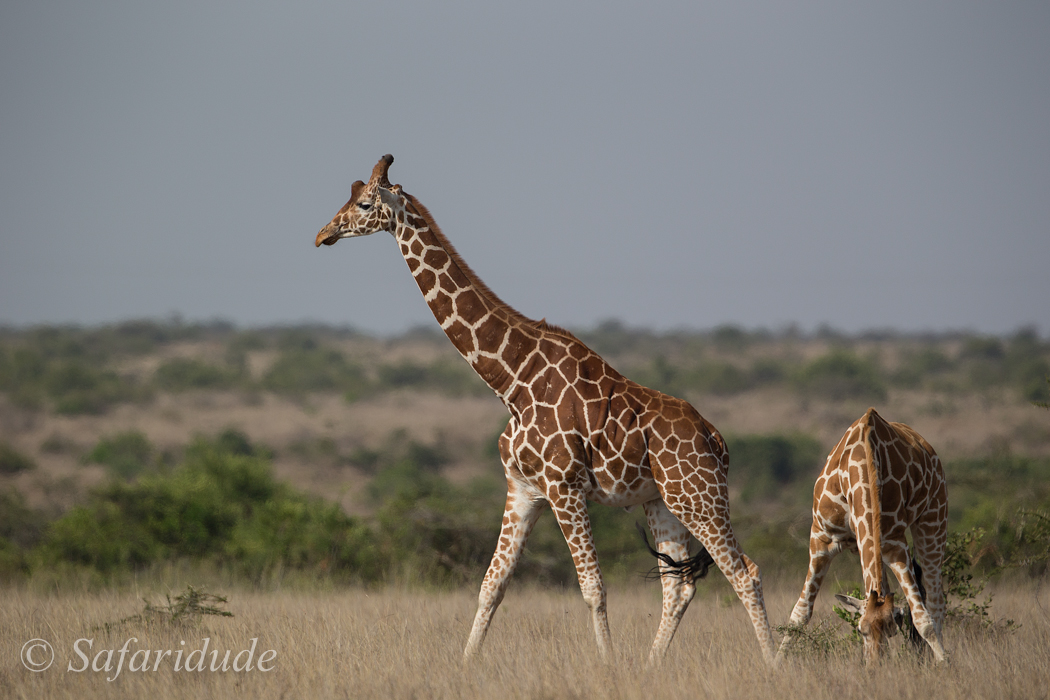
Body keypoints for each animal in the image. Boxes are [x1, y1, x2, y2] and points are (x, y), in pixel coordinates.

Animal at [316, 154, 777, 664]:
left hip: (700, 496)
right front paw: (465, 665)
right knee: (679, 588)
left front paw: (608, 666)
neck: (511, 381)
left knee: (746, 573)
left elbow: (593, 587)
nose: (323, 234)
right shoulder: (523, 489)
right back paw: (651, 668)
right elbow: (491, 586)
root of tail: (717, 440)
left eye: (364, 203)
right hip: (662, 501)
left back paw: (775, 665)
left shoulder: (565, 487)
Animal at [776, 407, 948, 664]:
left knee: (935, 601)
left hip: (934, 517)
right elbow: (800, 612)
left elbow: (921, 618)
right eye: (860, 630)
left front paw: (945, 662)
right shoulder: (821, 538)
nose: (875, 666)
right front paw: (774, 664)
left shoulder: (894, 542)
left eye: (890, 631)